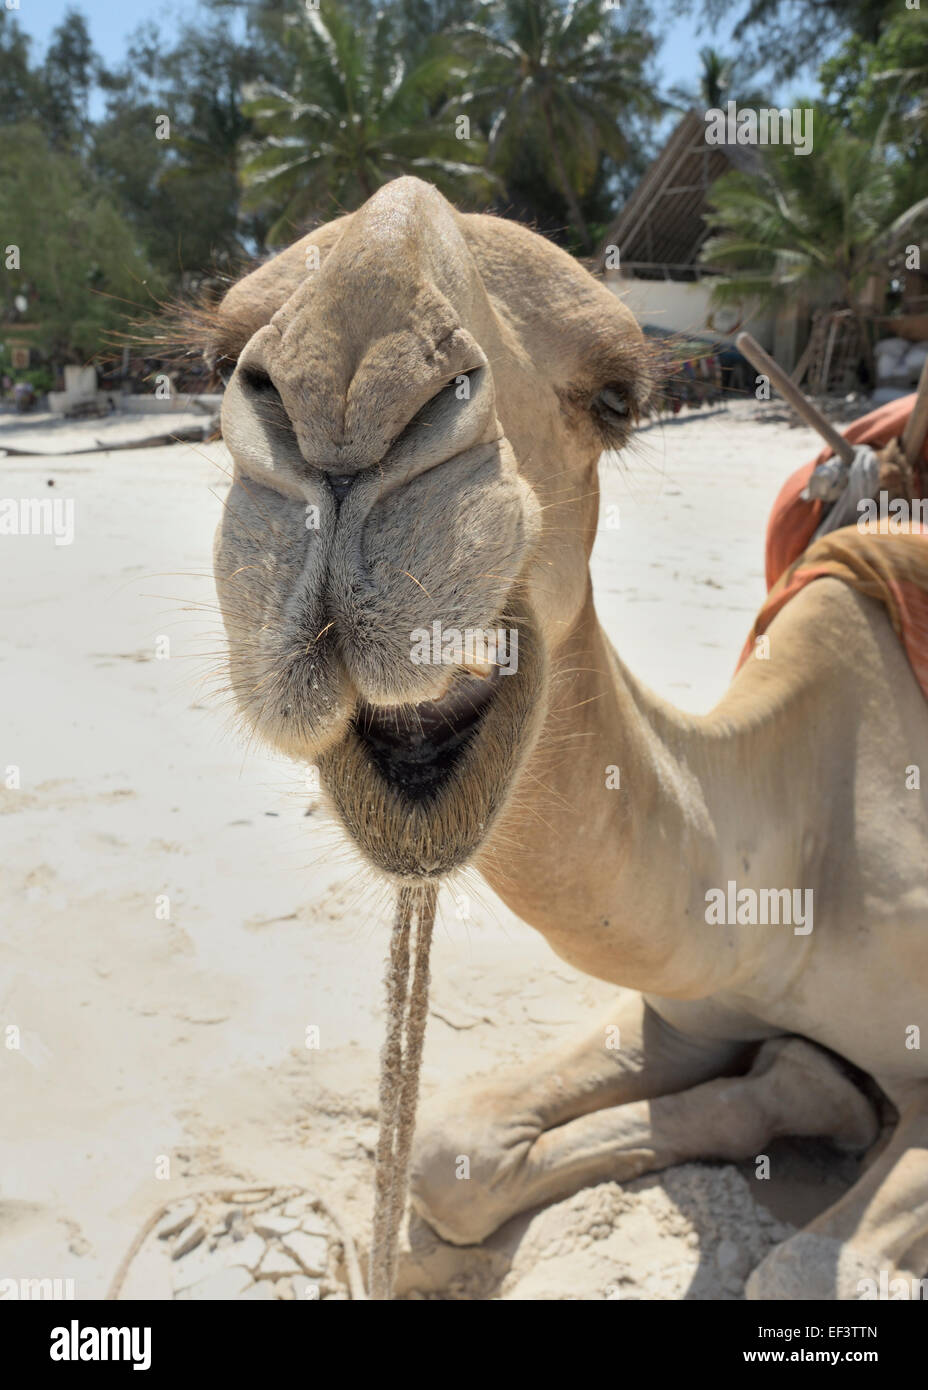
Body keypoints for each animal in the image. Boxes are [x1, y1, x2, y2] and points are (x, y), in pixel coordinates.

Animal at [204, 176, 928, 1300]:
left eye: (617, 398)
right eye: (220, 355)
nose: (347, 390)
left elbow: (796, 1269)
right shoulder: (688, 1004)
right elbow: (446, 1149)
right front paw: (808, 1085)